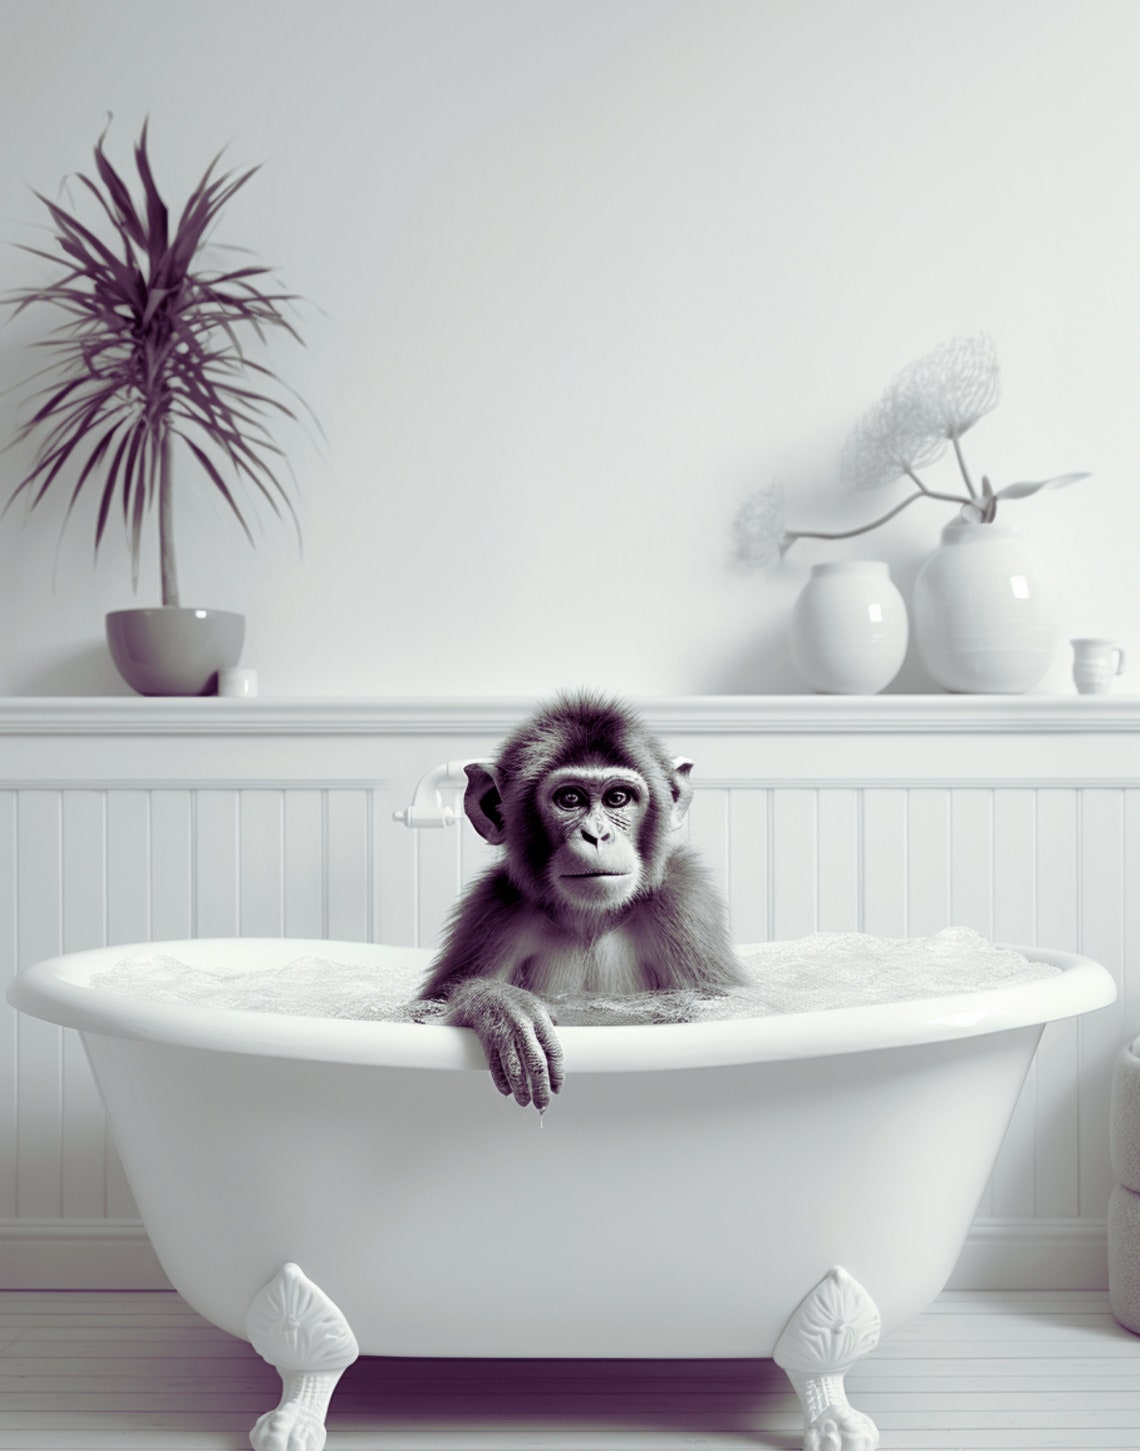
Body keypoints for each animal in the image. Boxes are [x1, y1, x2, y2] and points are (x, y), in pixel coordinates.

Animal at [417, 693, 745, 1110]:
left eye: (618, 798)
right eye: (570, 799)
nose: (597, 835)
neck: (591, 918)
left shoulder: (684, 901)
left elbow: (722, 1005)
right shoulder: (495, 908)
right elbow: (423, 1009)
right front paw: (501, 1007)